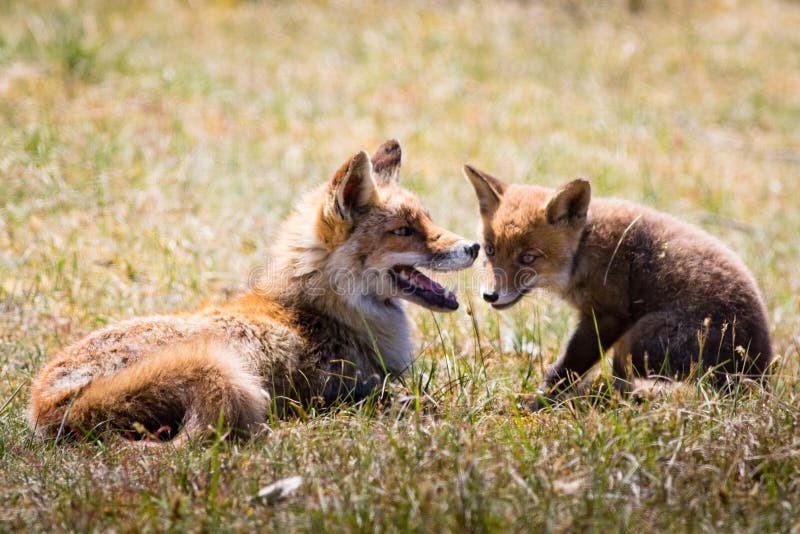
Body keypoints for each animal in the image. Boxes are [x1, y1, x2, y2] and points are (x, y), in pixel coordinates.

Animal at [28, 140, 480, 445]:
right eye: (404, 231)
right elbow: (417, 397)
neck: (322, 311)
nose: (475, 247)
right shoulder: (343, 389)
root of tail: (45, 408)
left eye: (428, 220)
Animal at [463, 164, 772, 405]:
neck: (583, 248)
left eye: (528, 258)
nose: (490, 296)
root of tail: (759, 375)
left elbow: (568, 366)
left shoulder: (608, 315)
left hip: (636, 338)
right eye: (490, 250)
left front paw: (540, 400)